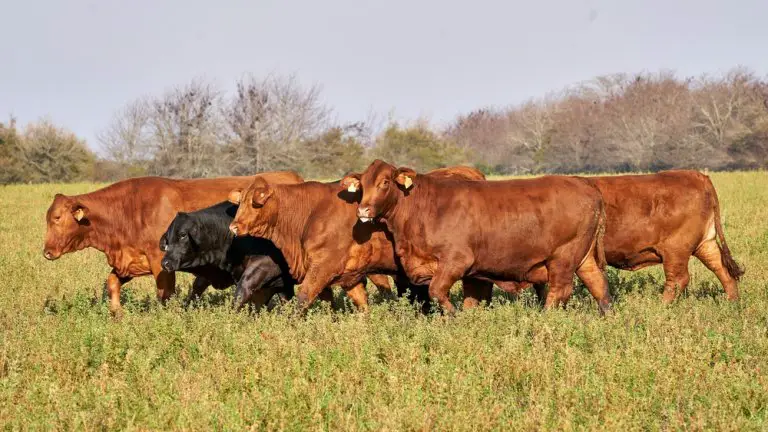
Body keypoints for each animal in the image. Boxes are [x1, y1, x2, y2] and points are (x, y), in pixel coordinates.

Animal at [43, 172, 303, 316]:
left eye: (57, 218)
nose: (46, 252)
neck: (129, 208)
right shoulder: (130, 262)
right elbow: (112, 283)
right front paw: (117, 314)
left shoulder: (161, 262)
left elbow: (164, 294)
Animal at [159, 201, 396, 310]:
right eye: (167, 238)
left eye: (183, 235)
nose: (166, 262)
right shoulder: (280, 284)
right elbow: (197, 287)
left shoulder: (263, 268)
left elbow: (242, 291)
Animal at [227, 166, 494, 314]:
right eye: (240, 202)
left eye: (255, 202)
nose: (233, 226)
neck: (310, 211)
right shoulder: (351, 276)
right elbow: (361, 305)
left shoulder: (322, 267)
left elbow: (302, 300)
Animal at [342, 159, 613, 315]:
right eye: (363, 184)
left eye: (385, 182)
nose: (363, 210)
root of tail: (585, 184)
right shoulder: (471, 274)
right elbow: (470, 303)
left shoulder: (456, 260)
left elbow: (437, 291)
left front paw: (453, 317)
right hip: (583, 259)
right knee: (599, 287)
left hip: (562, 259)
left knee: (559, 293)